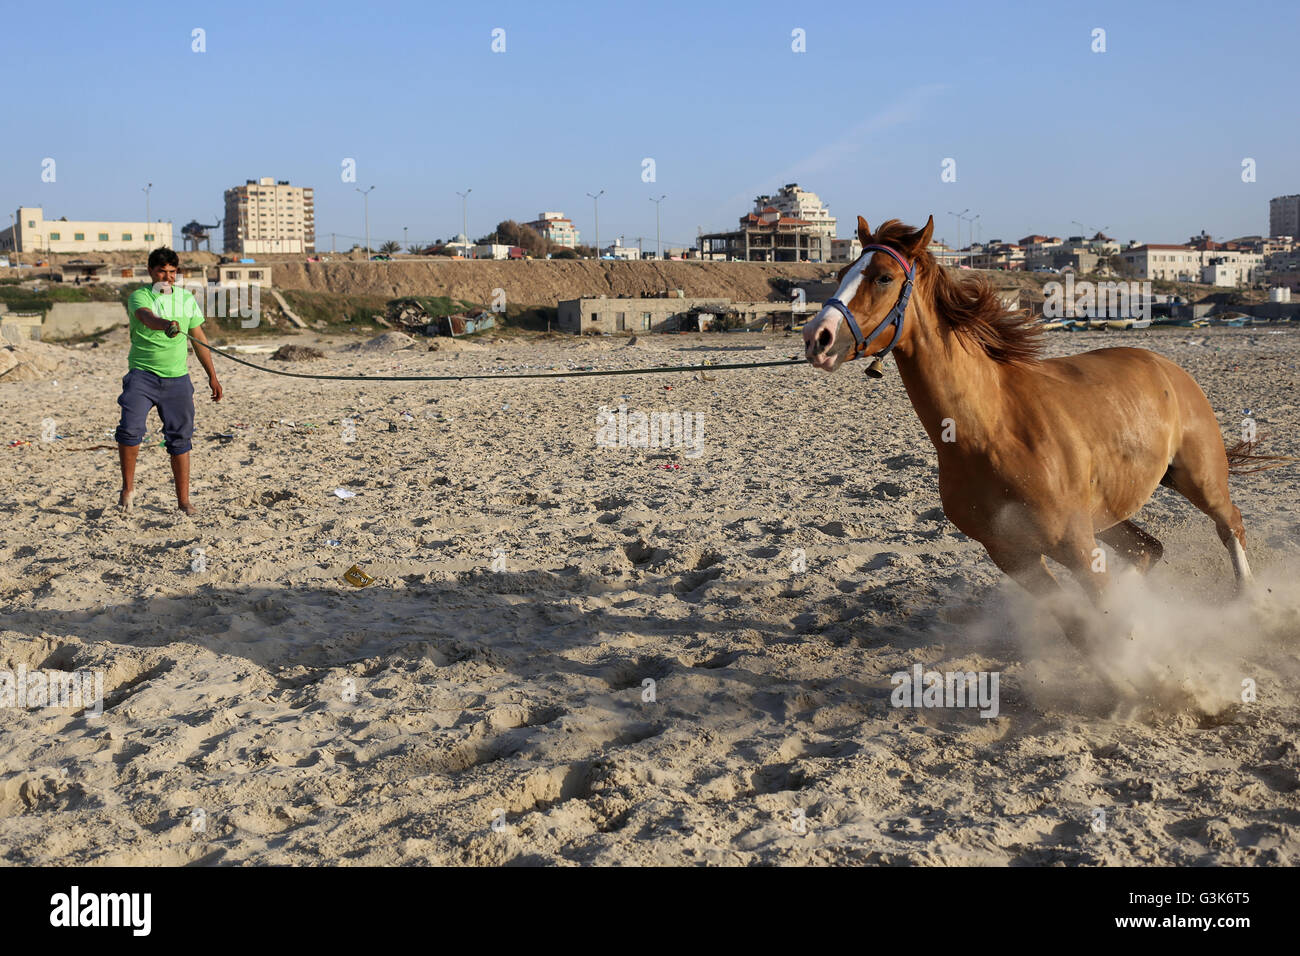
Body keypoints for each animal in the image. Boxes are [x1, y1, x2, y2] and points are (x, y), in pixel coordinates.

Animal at [802, 214, 1289, 652]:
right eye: (842, 273)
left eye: (883, 277)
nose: (817, 337)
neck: (989, 432)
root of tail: (1167, 366)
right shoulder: (1014, 556)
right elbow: (1082, 628)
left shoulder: (1075, 546)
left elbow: (1108, 623)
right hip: (1109, 514)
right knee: (1147, 549)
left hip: (1199, 479)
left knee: (1230, 524)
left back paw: (1249, 606)